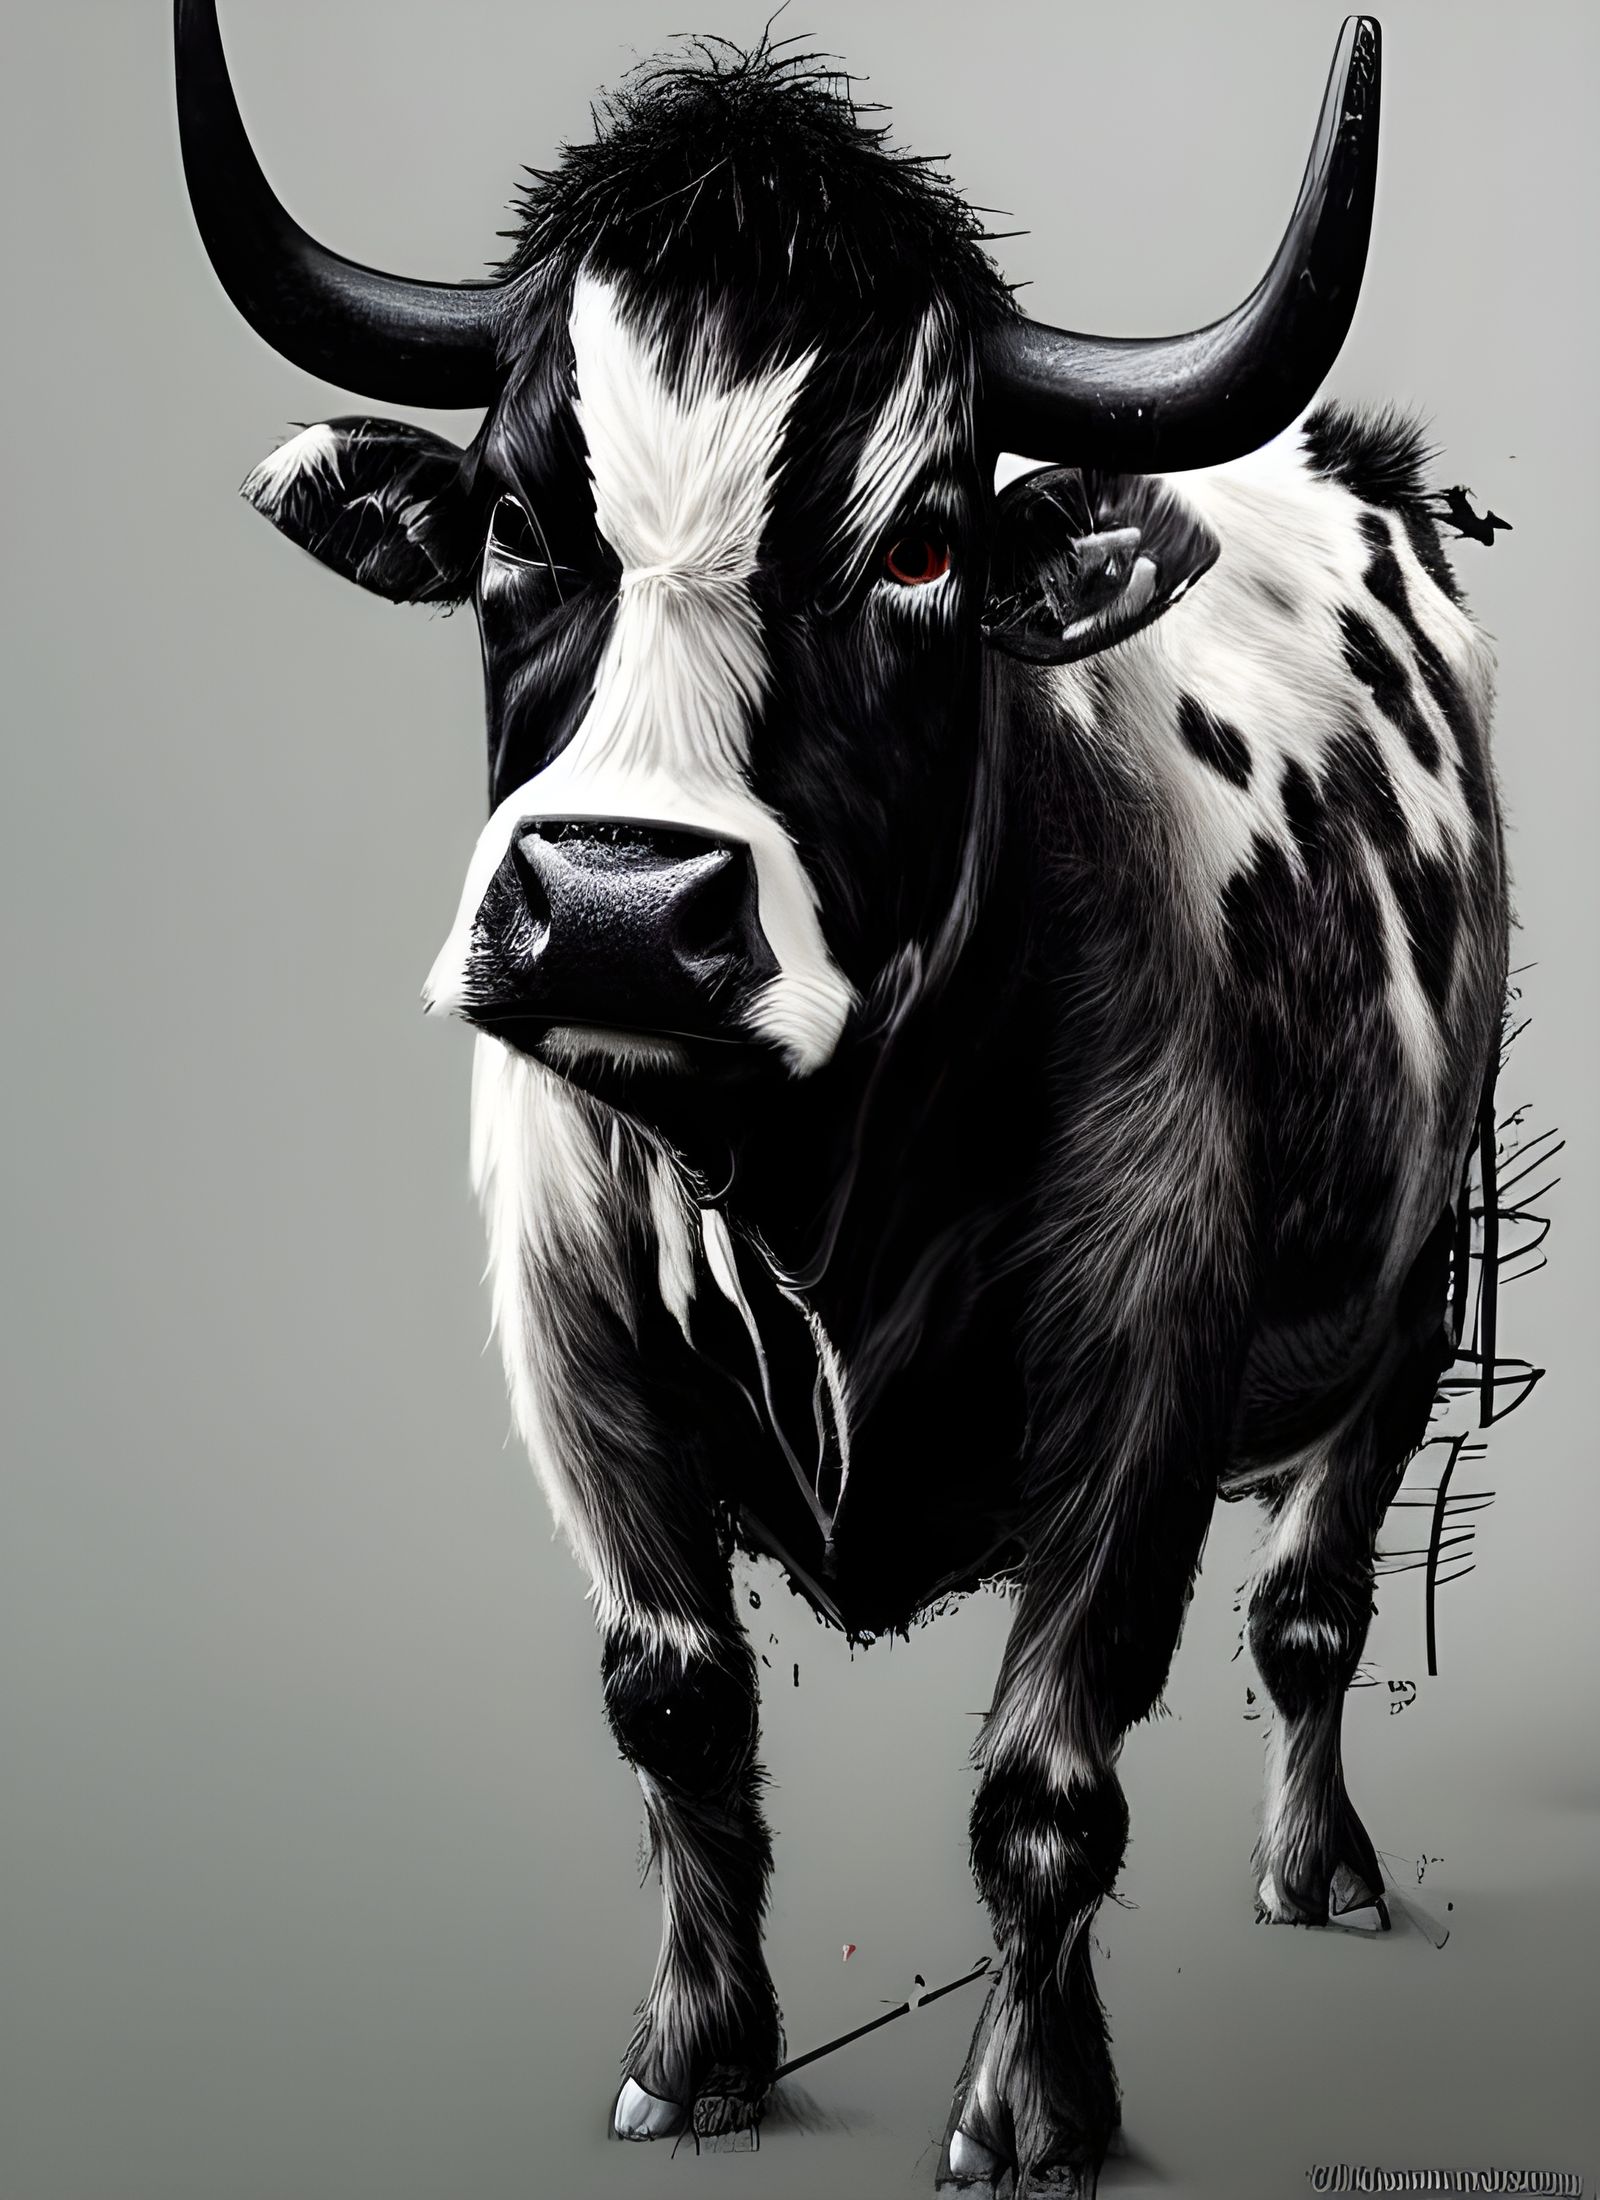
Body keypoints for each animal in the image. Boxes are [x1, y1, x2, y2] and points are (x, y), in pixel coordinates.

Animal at [176, 6, 1507, 2191]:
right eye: (516, 518)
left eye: (922, 542)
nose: (617, 908)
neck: (808, 1193)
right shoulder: (571, 1344)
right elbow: (671, 1704)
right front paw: (695, 2053)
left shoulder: (1144, 1379)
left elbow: (1048, 1787)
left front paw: (1029, 2110)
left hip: (1415, 1285)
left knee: (1312, 1607)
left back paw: (1317, 1869)